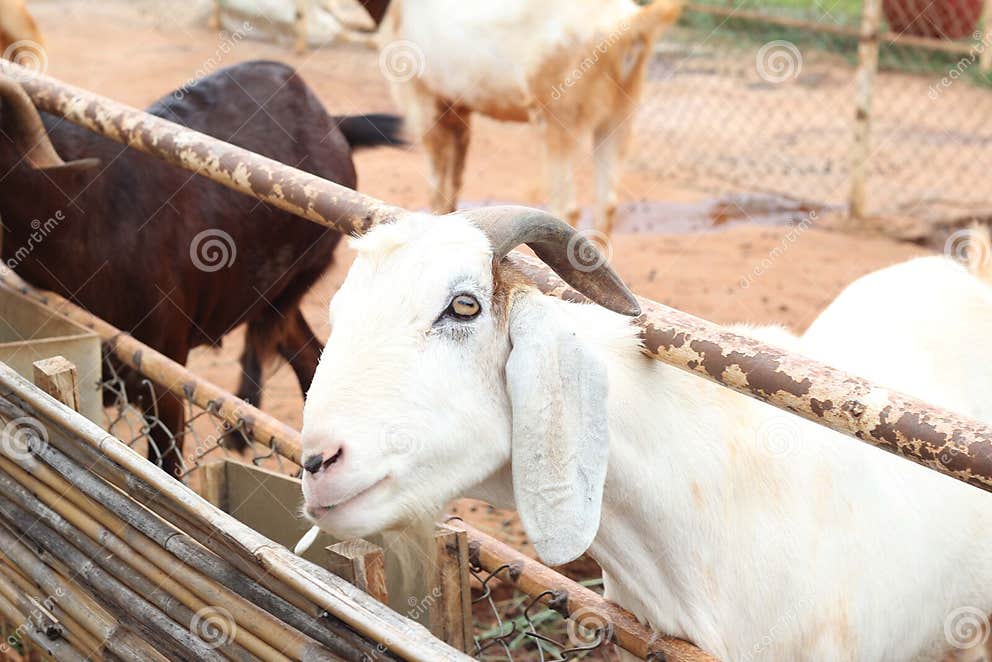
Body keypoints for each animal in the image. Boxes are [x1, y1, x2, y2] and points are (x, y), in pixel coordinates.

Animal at [372, 0, 680, 235]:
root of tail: (625, 24)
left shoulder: (422, 99)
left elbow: (436, 184)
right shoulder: (458, 108)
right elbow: (454, 179)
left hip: (559, 120)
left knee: (566, 208)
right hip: (618, 118)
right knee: (606, 205)